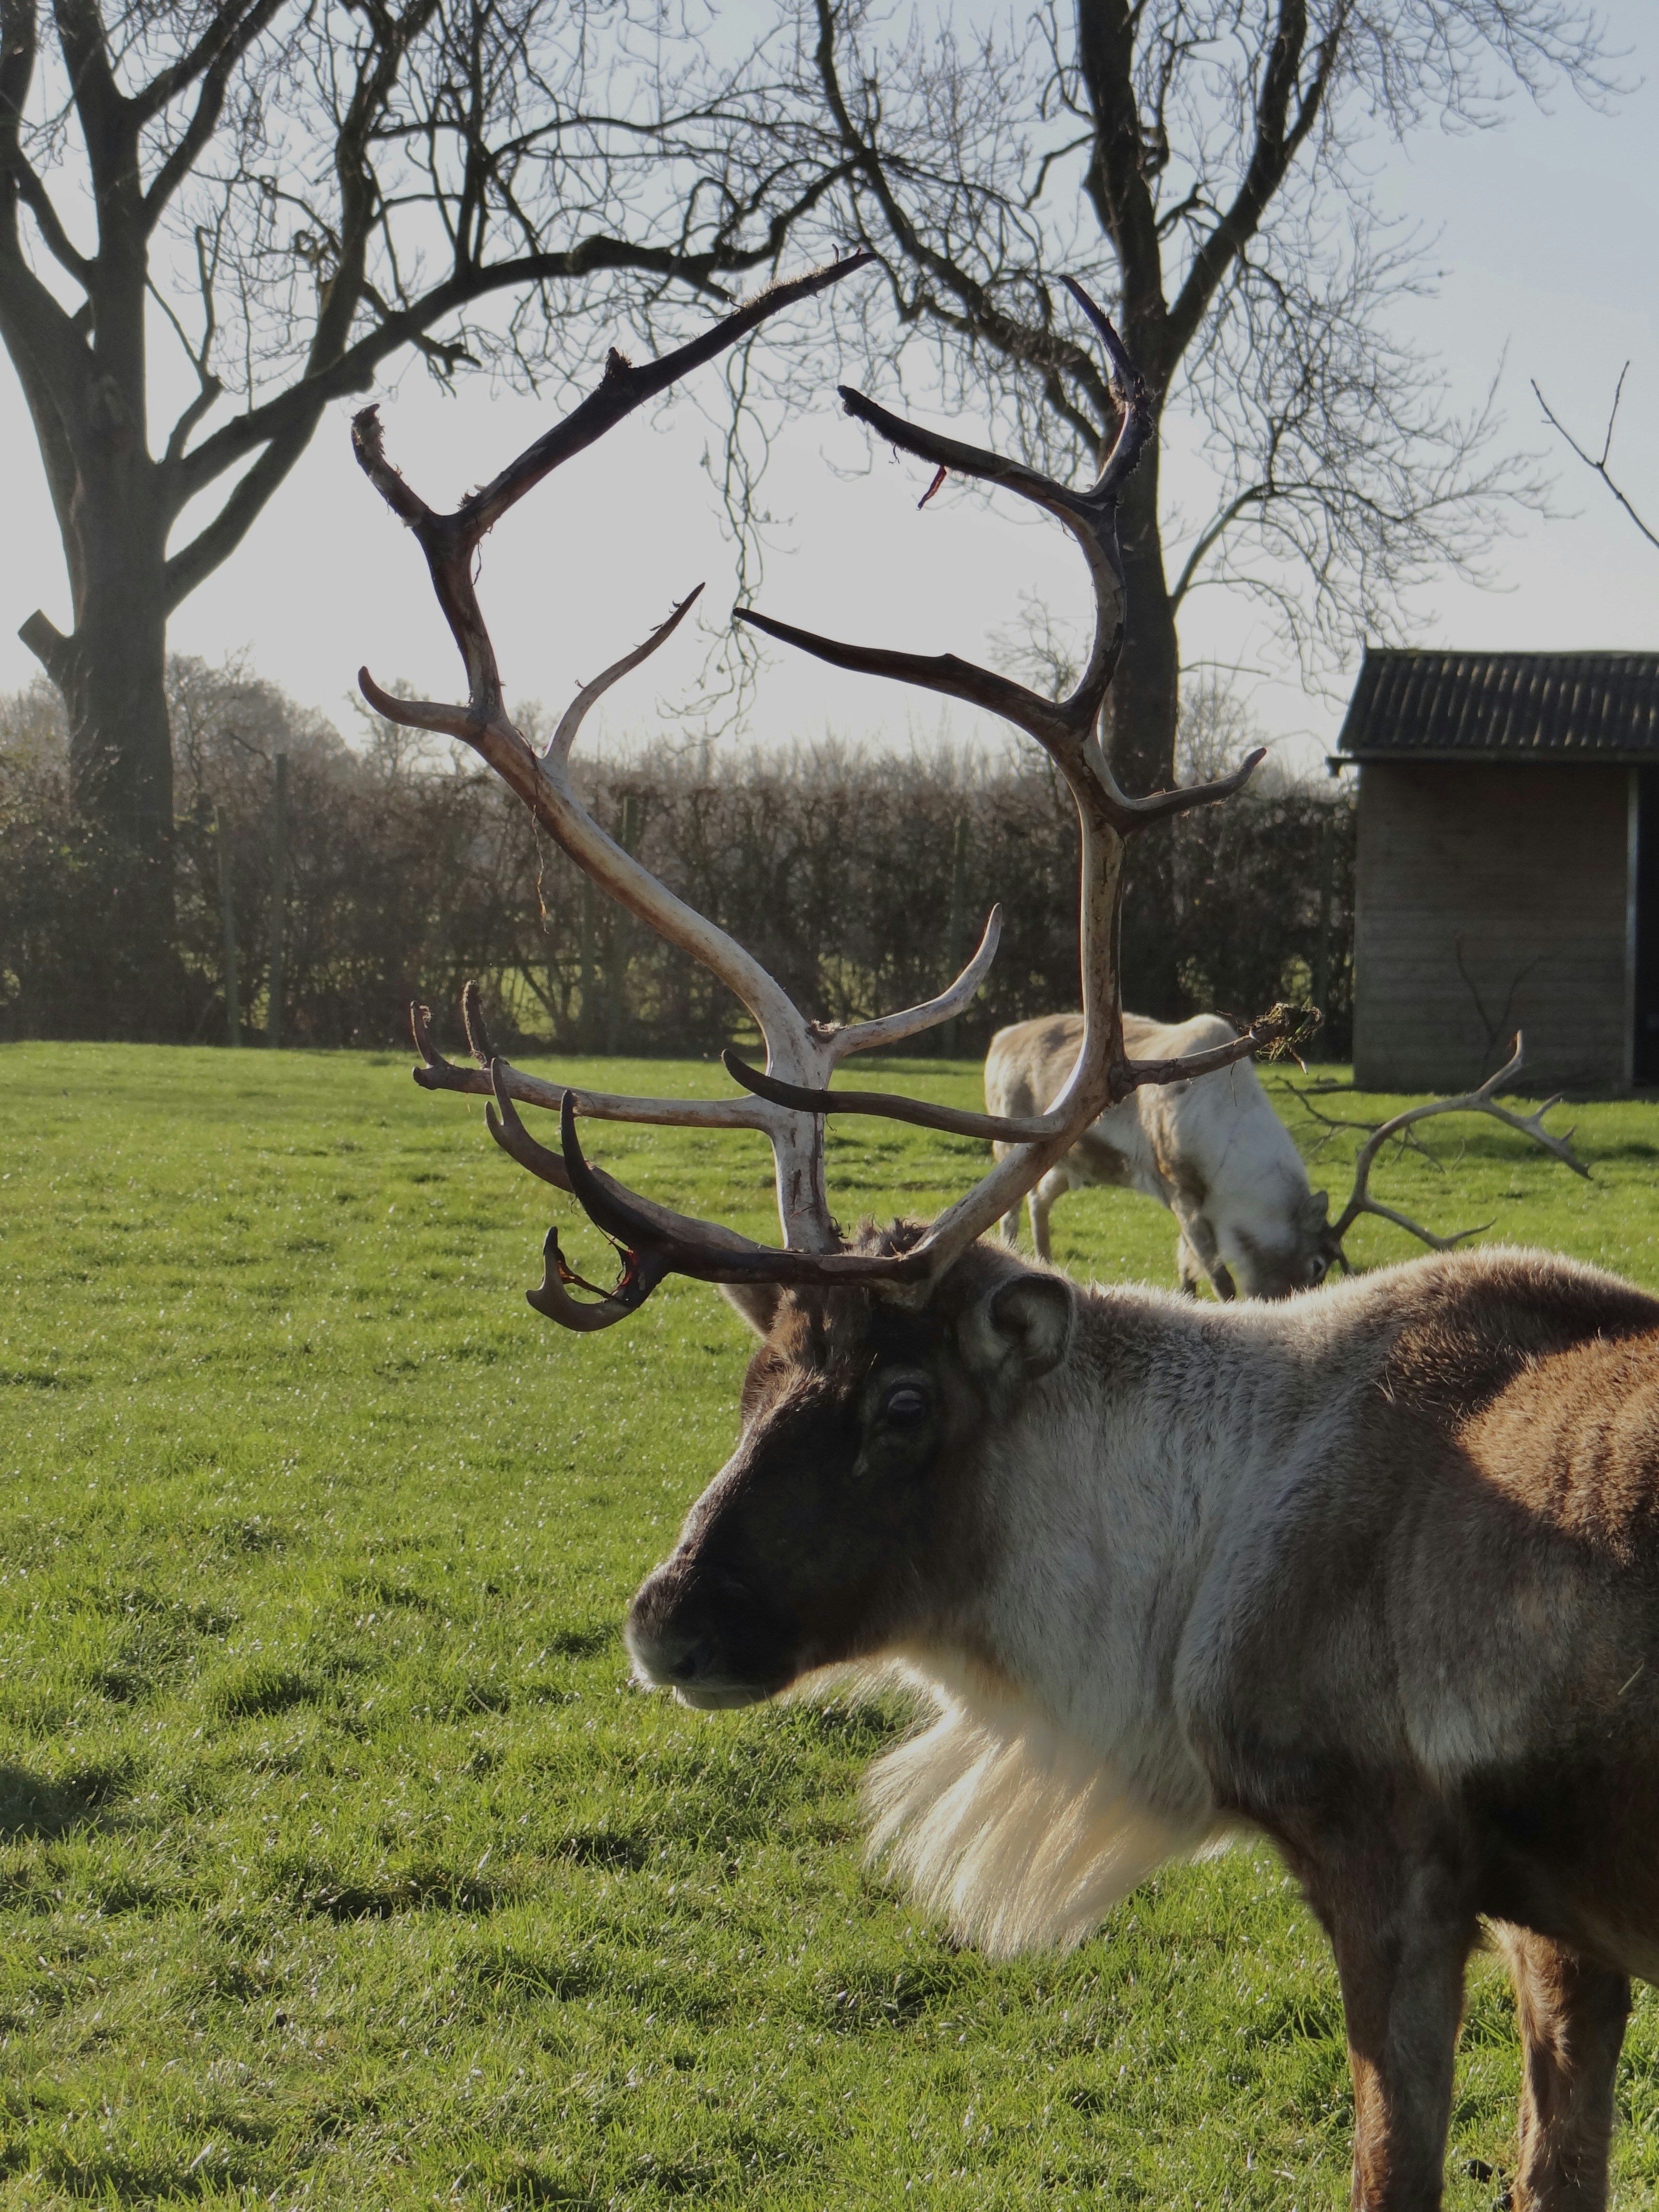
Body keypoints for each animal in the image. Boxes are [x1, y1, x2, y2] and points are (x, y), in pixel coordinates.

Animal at [355, 262, 1638, 2212]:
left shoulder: (1394, 1862)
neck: (1194, 1557)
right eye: (749, 1381)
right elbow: (1550, 2166)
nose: (663, 1617)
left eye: (905, 1402)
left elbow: (1400, 2165)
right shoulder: (1570, 1926)